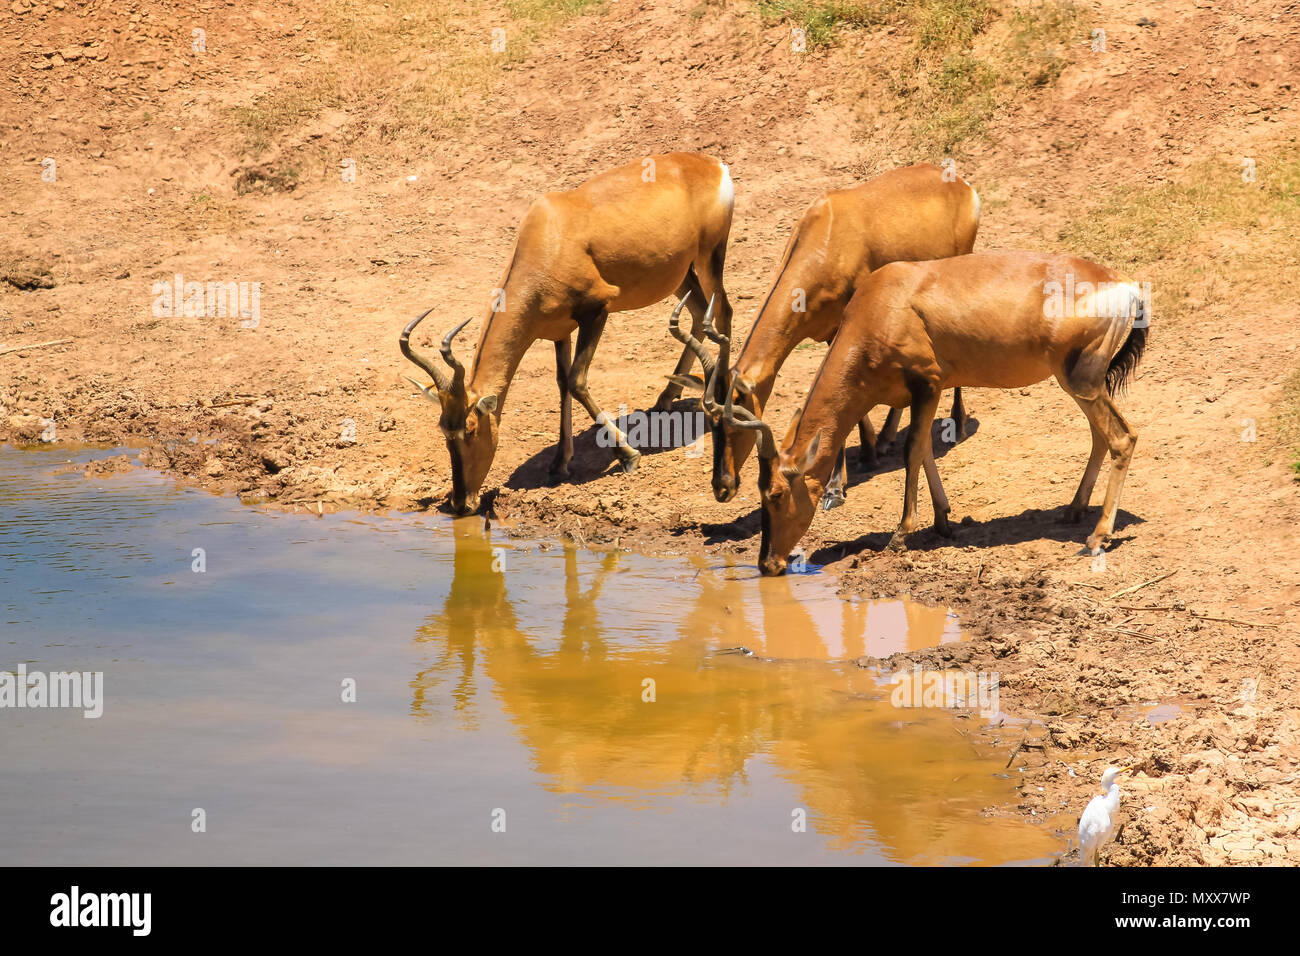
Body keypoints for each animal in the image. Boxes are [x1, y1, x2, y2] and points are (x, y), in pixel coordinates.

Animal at [401, 153, 735, 515]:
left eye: (472, 430)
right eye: (443, 429)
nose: (462, 503)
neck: (550, 234)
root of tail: (712, 164)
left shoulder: (597, 311)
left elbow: (577, 381)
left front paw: (628, 456)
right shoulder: (559, 329)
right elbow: (562, 385)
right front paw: (560, 463)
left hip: (709, 258)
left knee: (723, 314)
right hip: (680, 274)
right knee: (699, 315)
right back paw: (665, 399)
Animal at [670, 163, 980, 505]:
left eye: (737, 424)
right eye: (710, 423)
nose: (722, 487)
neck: (827, 233)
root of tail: (961, 184)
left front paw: (835, 487)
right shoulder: (832, 330)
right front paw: (864, 455)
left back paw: (958, 424)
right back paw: (887, 437)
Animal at [728, 251, 1147, 576]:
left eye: (777, 493)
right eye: (760, 492)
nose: (768, 564)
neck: (888, 300)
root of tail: (1126, 286)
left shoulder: (926, 384)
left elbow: (912, 449)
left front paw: (899, 536)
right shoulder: (931, 390)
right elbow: (927, 449)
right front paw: (943, 520)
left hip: (1081, 380)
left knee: (1122, 438)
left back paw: (1096, 537)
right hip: (1081, 384)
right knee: (1100, 436)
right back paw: (1074, 511)